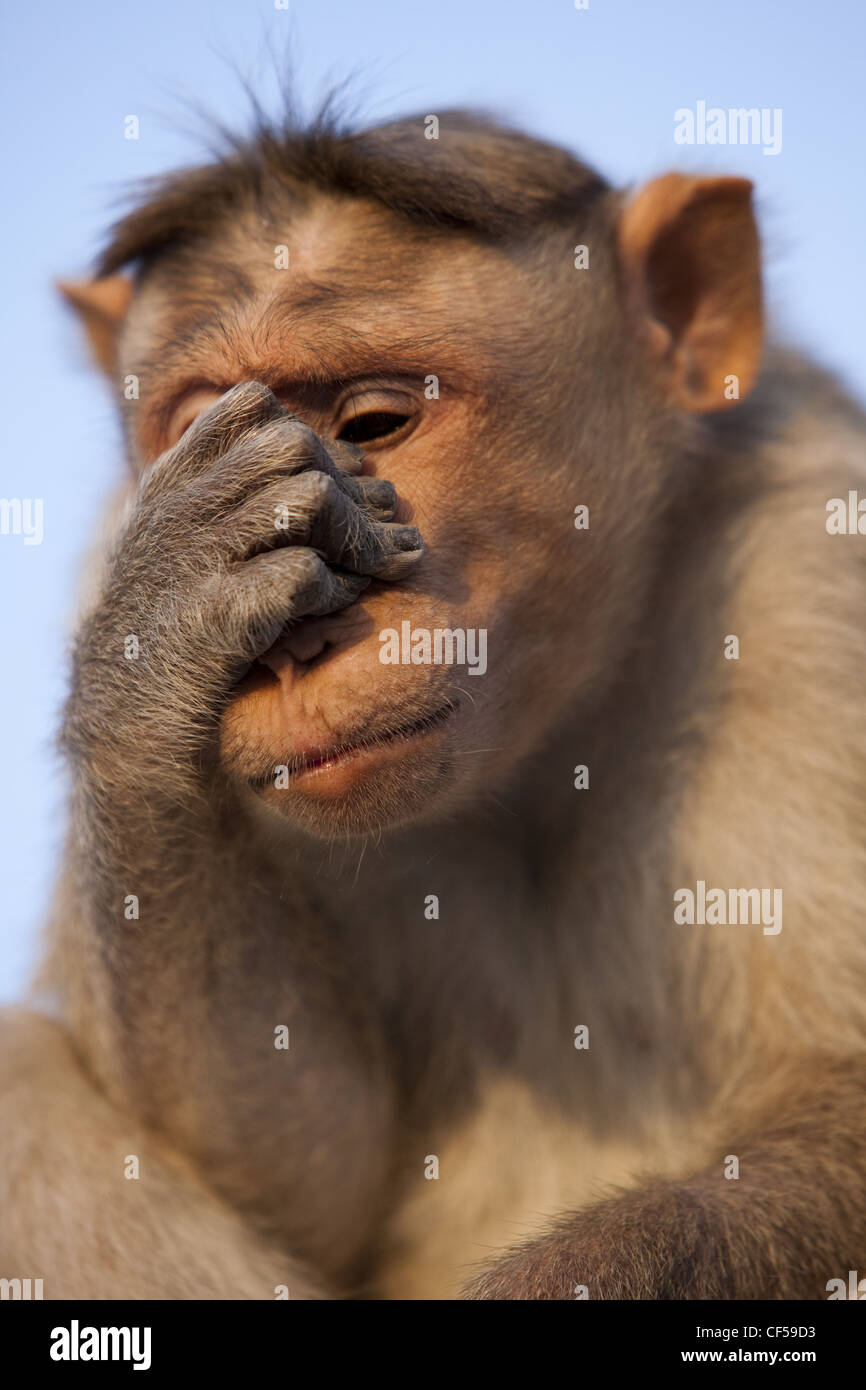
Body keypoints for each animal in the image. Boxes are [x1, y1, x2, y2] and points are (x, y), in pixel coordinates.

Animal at [1, 104, 865, 1301]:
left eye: (371, 424)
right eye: (211, 429)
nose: (293, 648)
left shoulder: (811, 561)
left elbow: (837, 1091)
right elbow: (302, 1165)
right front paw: (176, 606)